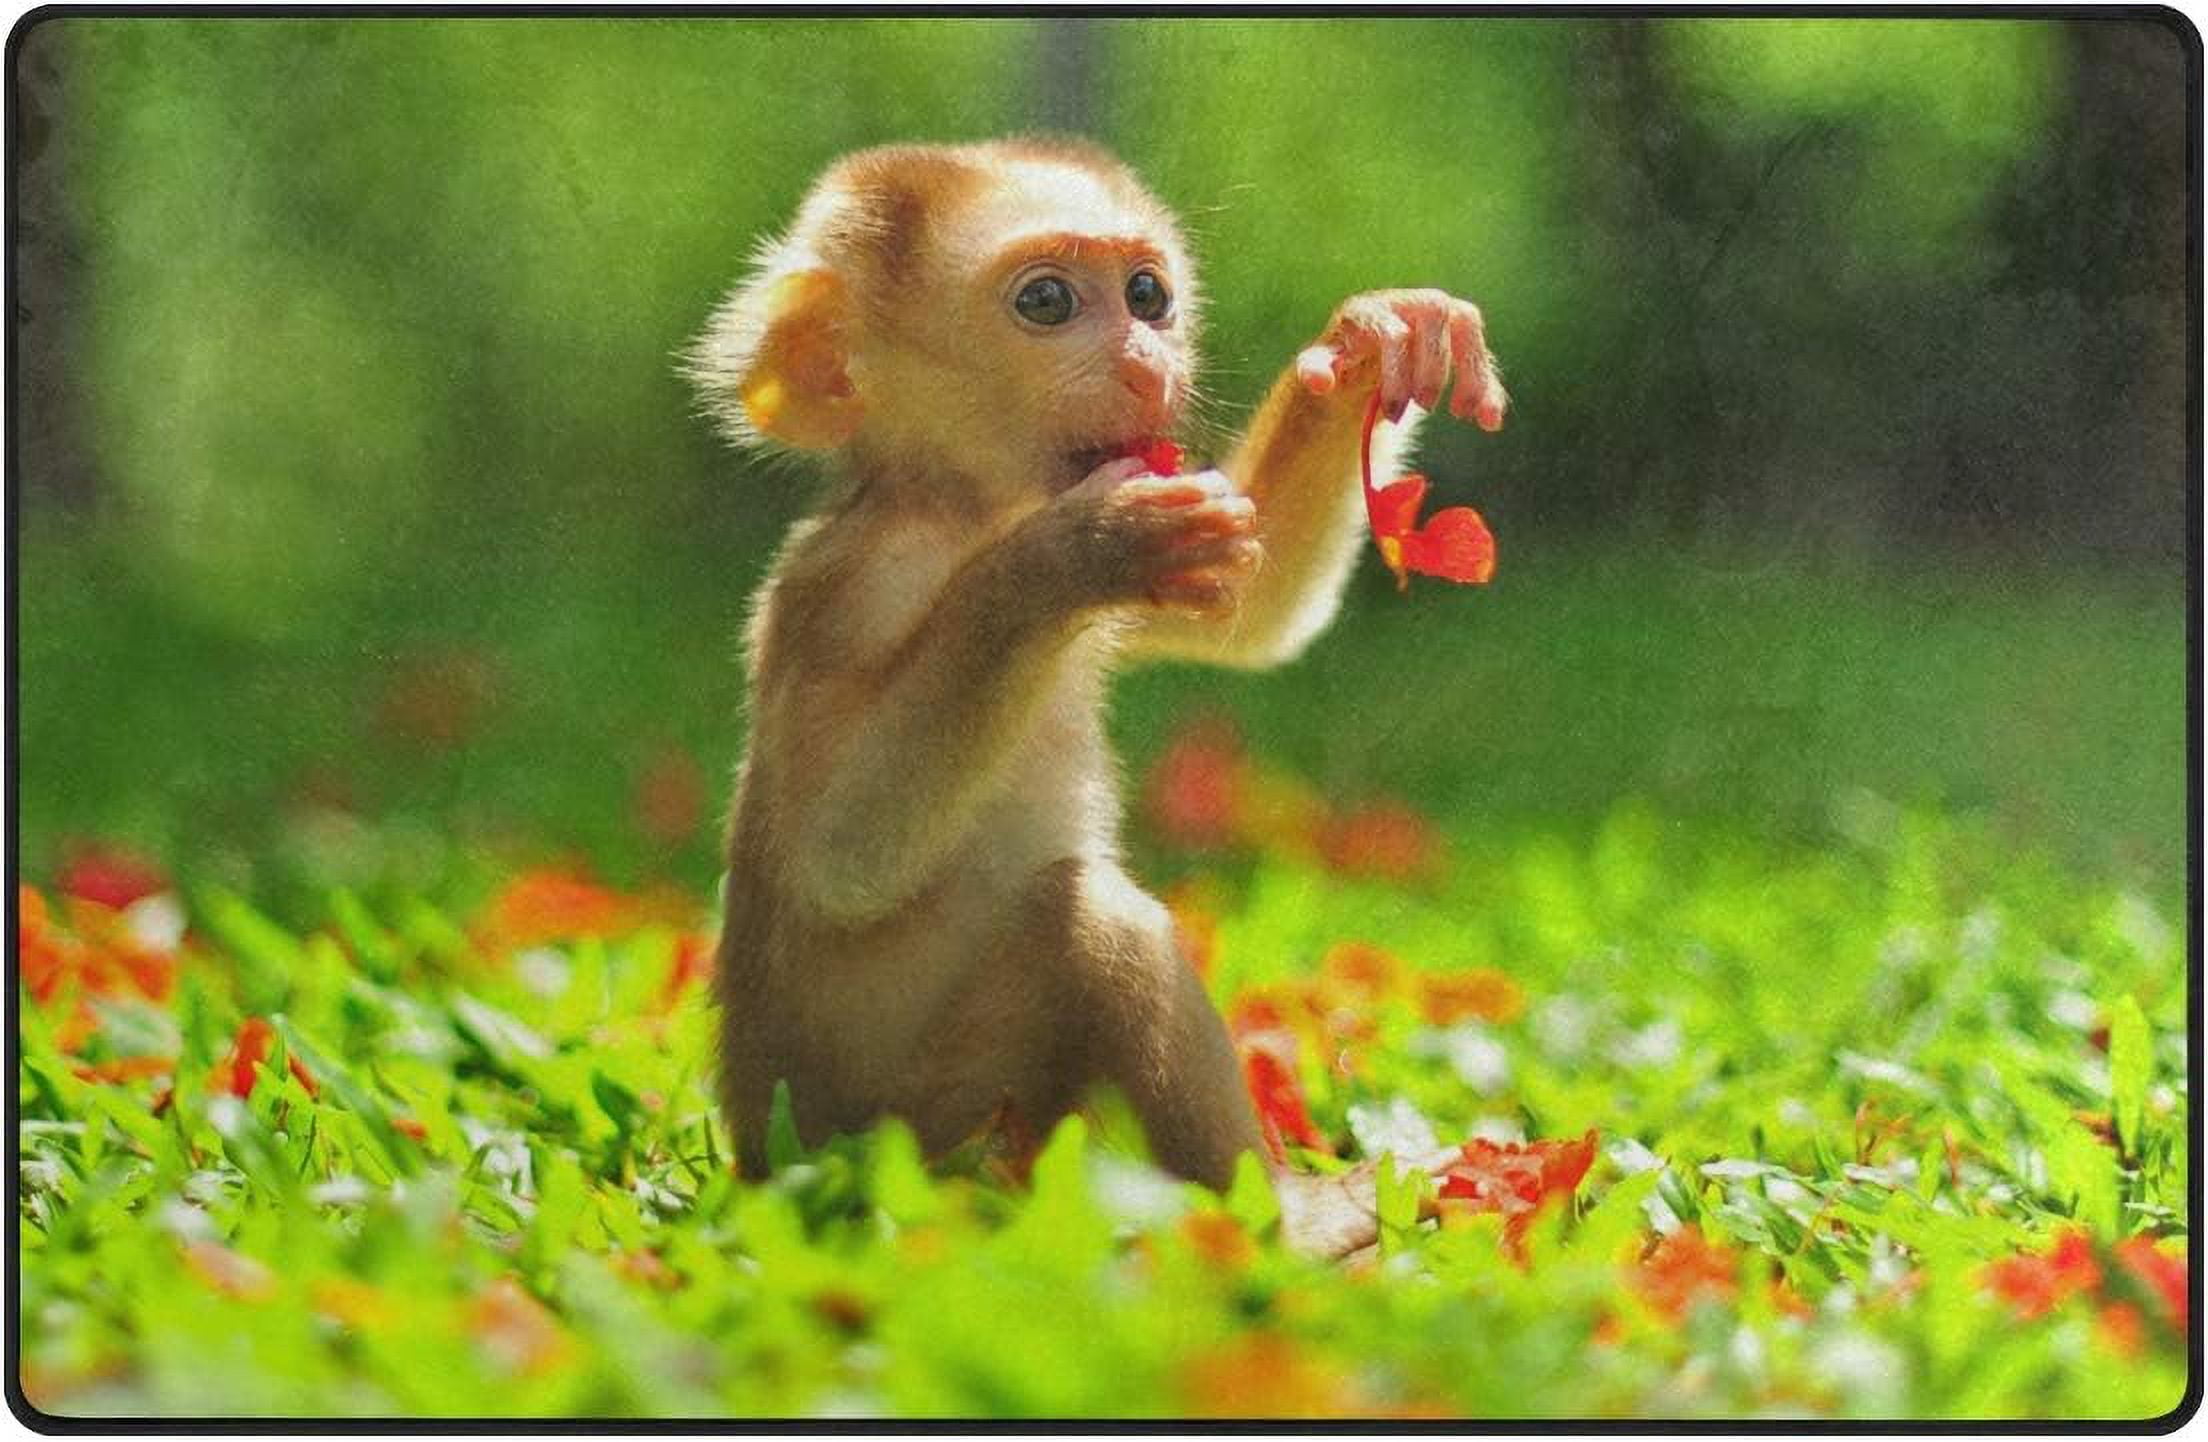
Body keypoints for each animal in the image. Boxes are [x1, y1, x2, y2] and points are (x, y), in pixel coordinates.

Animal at [686, 138, 1506, 1257]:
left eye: (1147, 295)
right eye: (1047, 301)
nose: (1145, 362)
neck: (967, 508)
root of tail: (766, 1157)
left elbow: (1252, 614)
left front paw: (1372, 347)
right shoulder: (855, 585)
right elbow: (843, 856)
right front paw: (1074, 552)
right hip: (919, 1131)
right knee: (1094, 929)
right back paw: (1292, 1223)